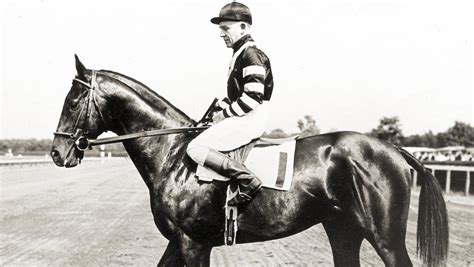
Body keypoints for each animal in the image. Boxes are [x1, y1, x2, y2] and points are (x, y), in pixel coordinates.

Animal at [51, 55, 448, 266]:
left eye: (73, 100)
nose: (57, 152)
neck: (174, 154)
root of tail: (394, 150)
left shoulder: (193, 242)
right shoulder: (178, 241)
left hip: (385, 237)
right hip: (343, 230)